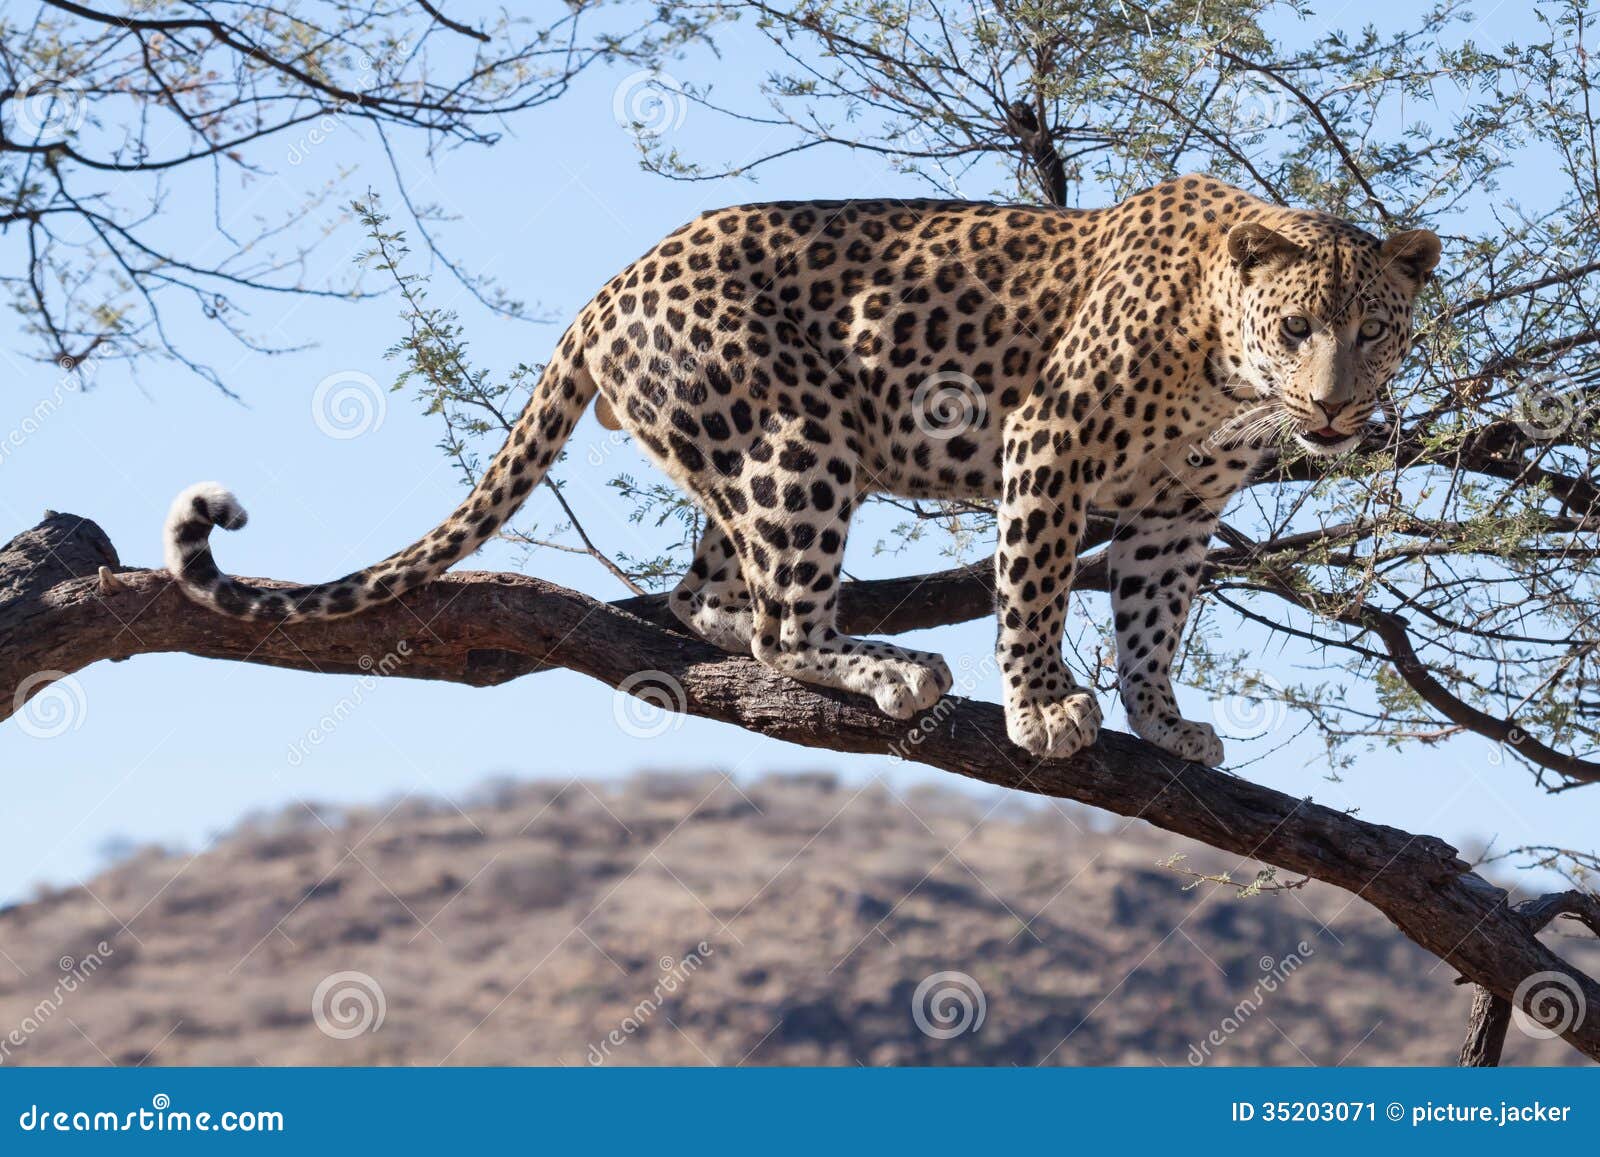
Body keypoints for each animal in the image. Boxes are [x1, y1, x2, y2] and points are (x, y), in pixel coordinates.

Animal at [165, 174, 1439, 766]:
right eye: (1294, 327)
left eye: (1373, 329)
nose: (1335, 405)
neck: (1224, 371)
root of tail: (604, 292)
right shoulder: (1049, 445)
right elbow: (1032, 596)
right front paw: (1041, 706)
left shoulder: (1178, 512)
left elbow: (1153, 628)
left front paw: (1163, 722)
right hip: (800, 442)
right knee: (785, 626)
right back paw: (887, 668)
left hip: (743, 460)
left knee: (703, 597)